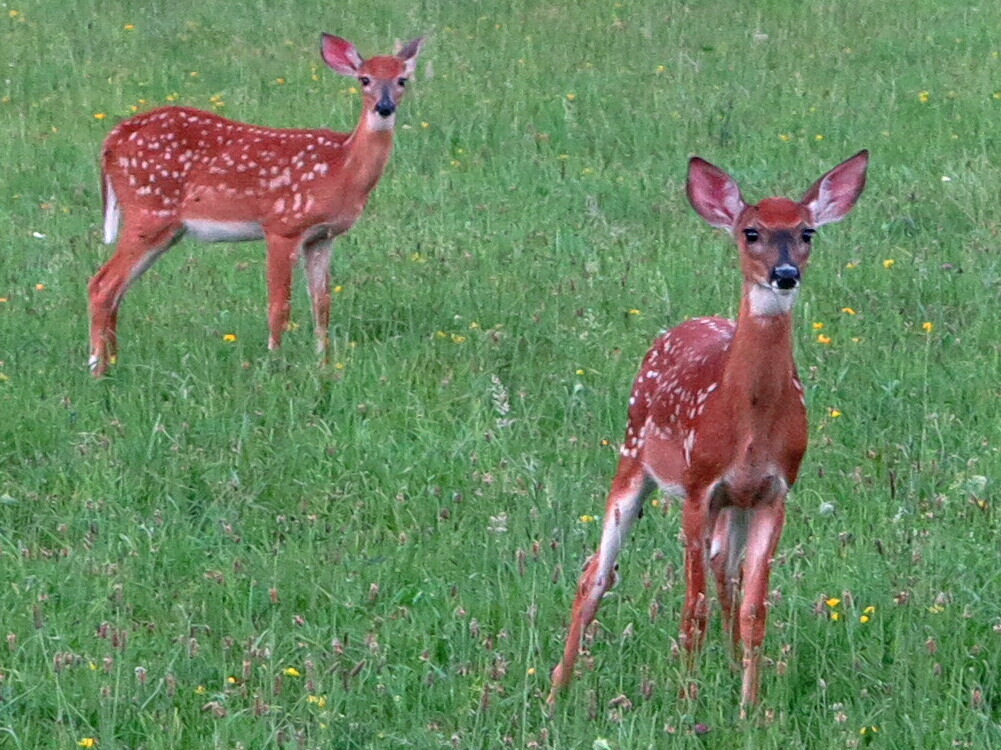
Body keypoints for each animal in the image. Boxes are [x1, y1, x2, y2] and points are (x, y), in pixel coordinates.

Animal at [88, 33, 425, 376]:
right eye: (364, 79)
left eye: (402, 79)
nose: (384, 107)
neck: (341, 168)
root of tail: (111, 140)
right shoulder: (282, 225)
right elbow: (279, 305)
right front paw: (275, 362)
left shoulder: (322, 236)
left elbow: (322, 303)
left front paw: (325, 363)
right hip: (148, 211)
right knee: (102, 285)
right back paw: (97, 369)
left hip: (166, 228)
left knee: (118, 289)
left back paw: (113, 363)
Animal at [548, 151, 869, 714]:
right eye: (751, 232)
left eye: (806, 232)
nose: (785, 274)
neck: (747, 421)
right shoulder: (700, 486)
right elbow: (691, 608)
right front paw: (686, 701)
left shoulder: (773, 492)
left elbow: (755, 611)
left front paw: (749, 708)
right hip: (634, 454)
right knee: (596, 574)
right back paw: (556, 690)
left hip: (733, 504)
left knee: (725, 570)